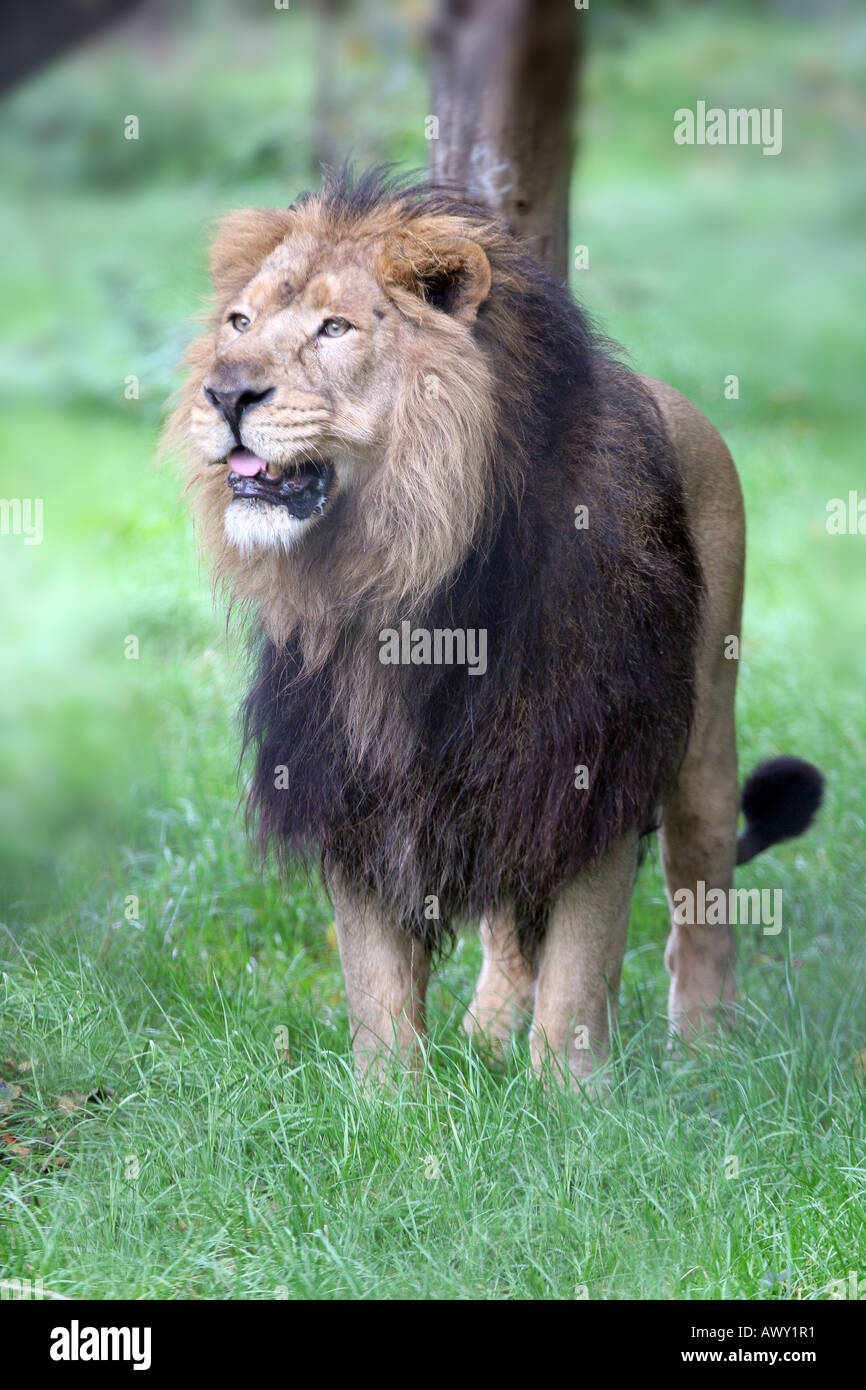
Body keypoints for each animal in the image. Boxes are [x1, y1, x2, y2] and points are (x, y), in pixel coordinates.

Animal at [167, 167, 823, 1088]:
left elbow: (579, 969)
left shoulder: (593, 758)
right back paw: (485, 1039)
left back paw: (705, 1058)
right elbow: (376, 978)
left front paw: (568, 1102)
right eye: (240, 323)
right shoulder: (354, 777)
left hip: (701, 743)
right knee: (513, 930)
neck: (406, 575)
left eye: (335, 328)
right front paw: (391, 1102)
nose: (225, 393)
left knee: (701, 910)